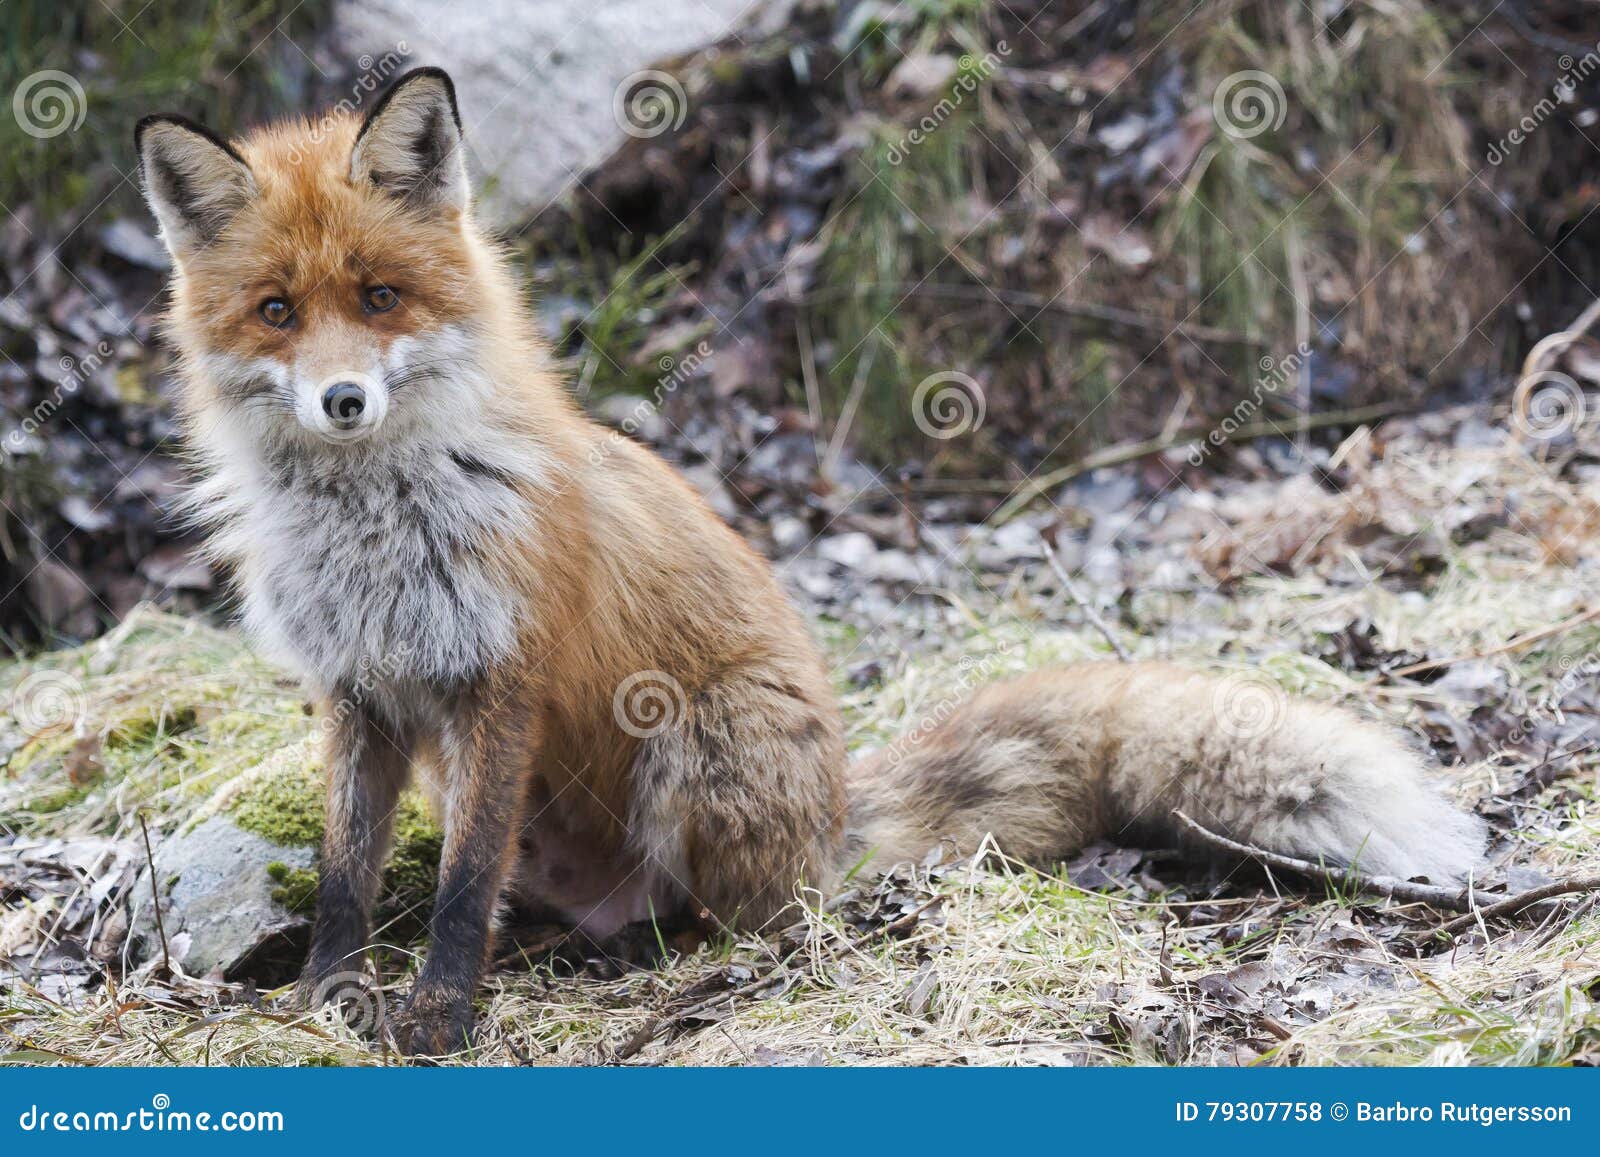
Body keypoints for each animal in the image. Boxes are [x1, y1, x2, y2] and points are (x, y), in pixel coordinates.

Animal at [135, 68, 1486, 1056]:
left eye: (379, 295)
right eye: (276, 312)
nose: (344, 401)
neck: (377, 528)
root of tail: (838, 807)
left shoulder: (497, 682)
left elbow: (465, 884)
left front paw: (437, 1011)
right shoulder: (358, 693)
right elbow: (343, 873)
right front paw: (326, 994)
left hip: (698, 739)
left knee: (747, 911)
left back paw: (682, 956)